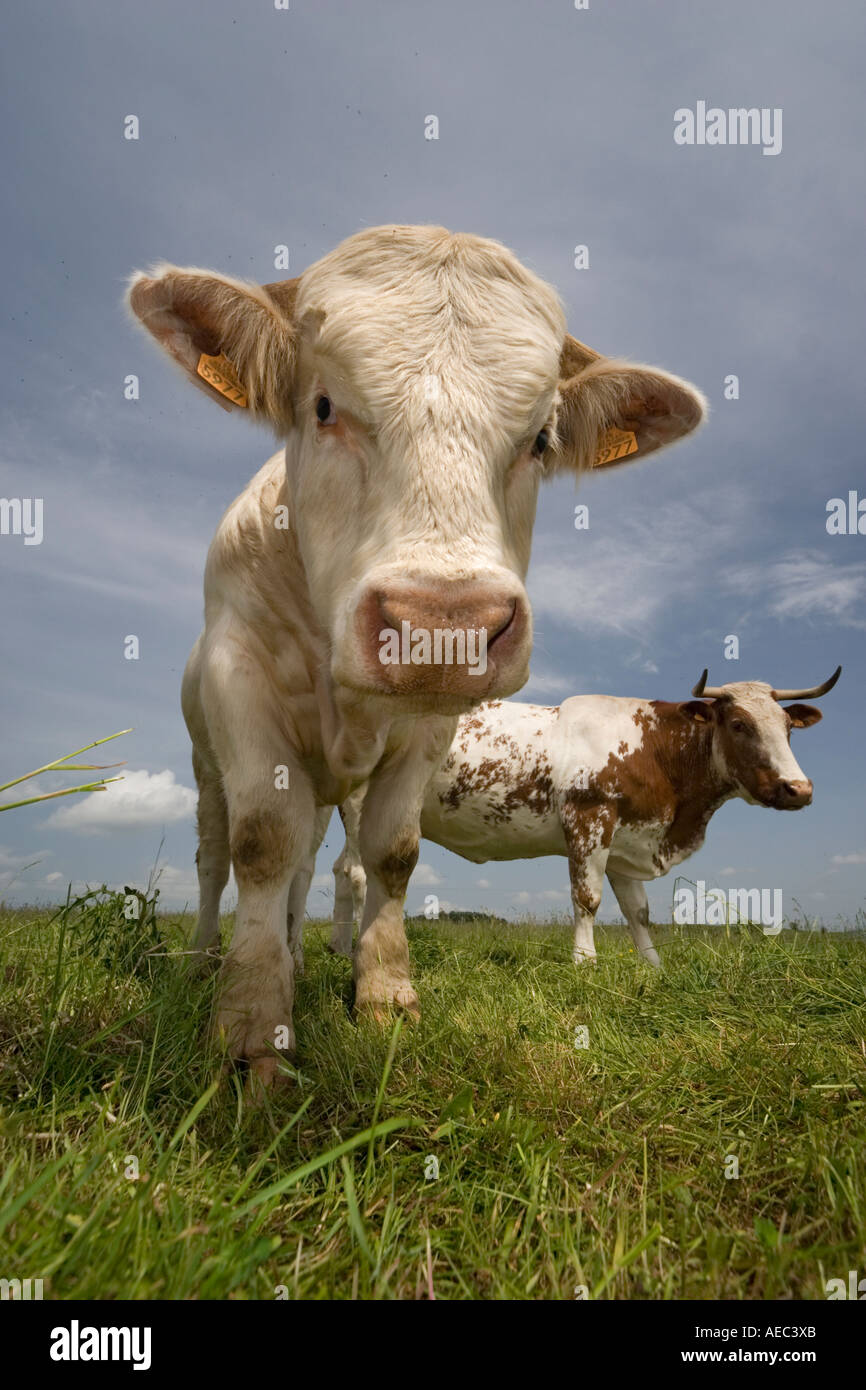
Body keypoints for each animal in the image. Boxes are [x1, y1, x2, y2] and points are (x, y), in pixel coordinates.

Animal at [127, 224, 706, 1084]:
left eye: (541, 439)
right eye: (322, 405)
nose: (442, 622)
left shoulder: (430, 726)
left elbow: (391, 855)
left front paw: (383, 997)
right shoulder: (241, 683)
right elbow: (260, 844)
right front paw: (250, 1024)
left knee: (310, 867)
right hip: (205, 763)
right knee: (214, 858)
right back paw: (203, 959)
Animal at [310, 669, 839, 970]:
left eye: (788, 727)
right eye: (738, 724)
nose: (800, 789)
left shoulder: (629, 841)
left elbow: (637, 911)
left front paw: (654, 968)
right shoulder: (589, 816)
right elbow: (588, 898)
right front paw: (585, 962)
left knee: (337, 871)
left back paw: (335, 948)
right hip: (363, 803)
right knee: (359, 873)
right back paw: (362, 950)